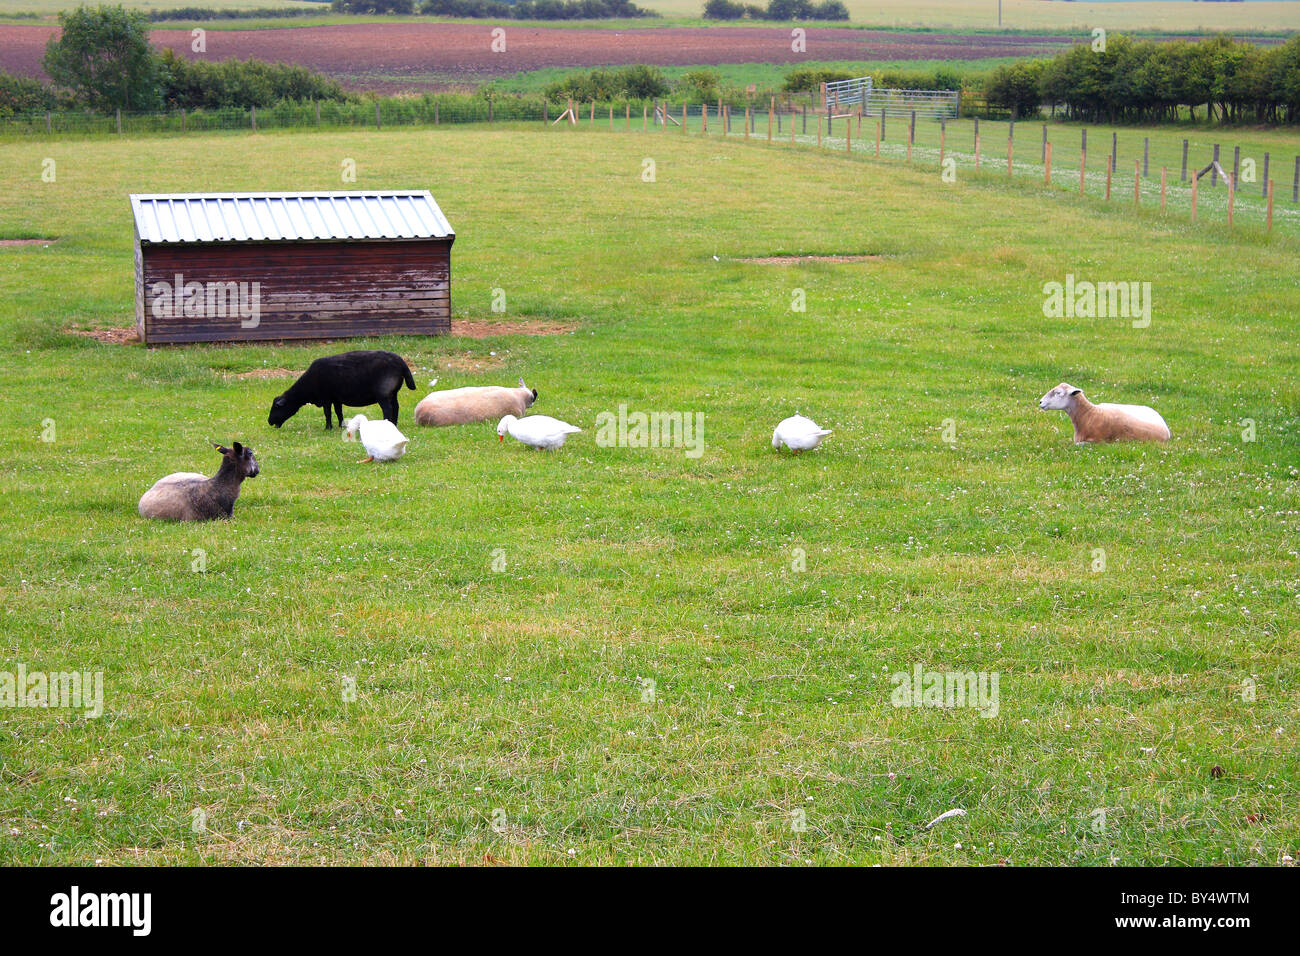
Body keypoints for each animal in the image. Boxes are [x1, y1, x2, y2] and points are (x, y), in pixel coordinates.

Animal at [268, 350, 415, 430]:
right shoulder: (336, 398)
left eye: (276, 407)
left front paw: (328, 428)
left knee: (387, 409)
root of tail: (401, 362)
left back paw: (387, 423)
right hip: (393, 392)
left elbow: (327, 413)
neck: (306, 388)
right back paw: (394, 423)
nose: (269, 422)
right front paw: (341, 426)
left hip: (383, 393)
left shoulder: (326, 398)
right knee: (396, 407)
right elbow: (339, 412)